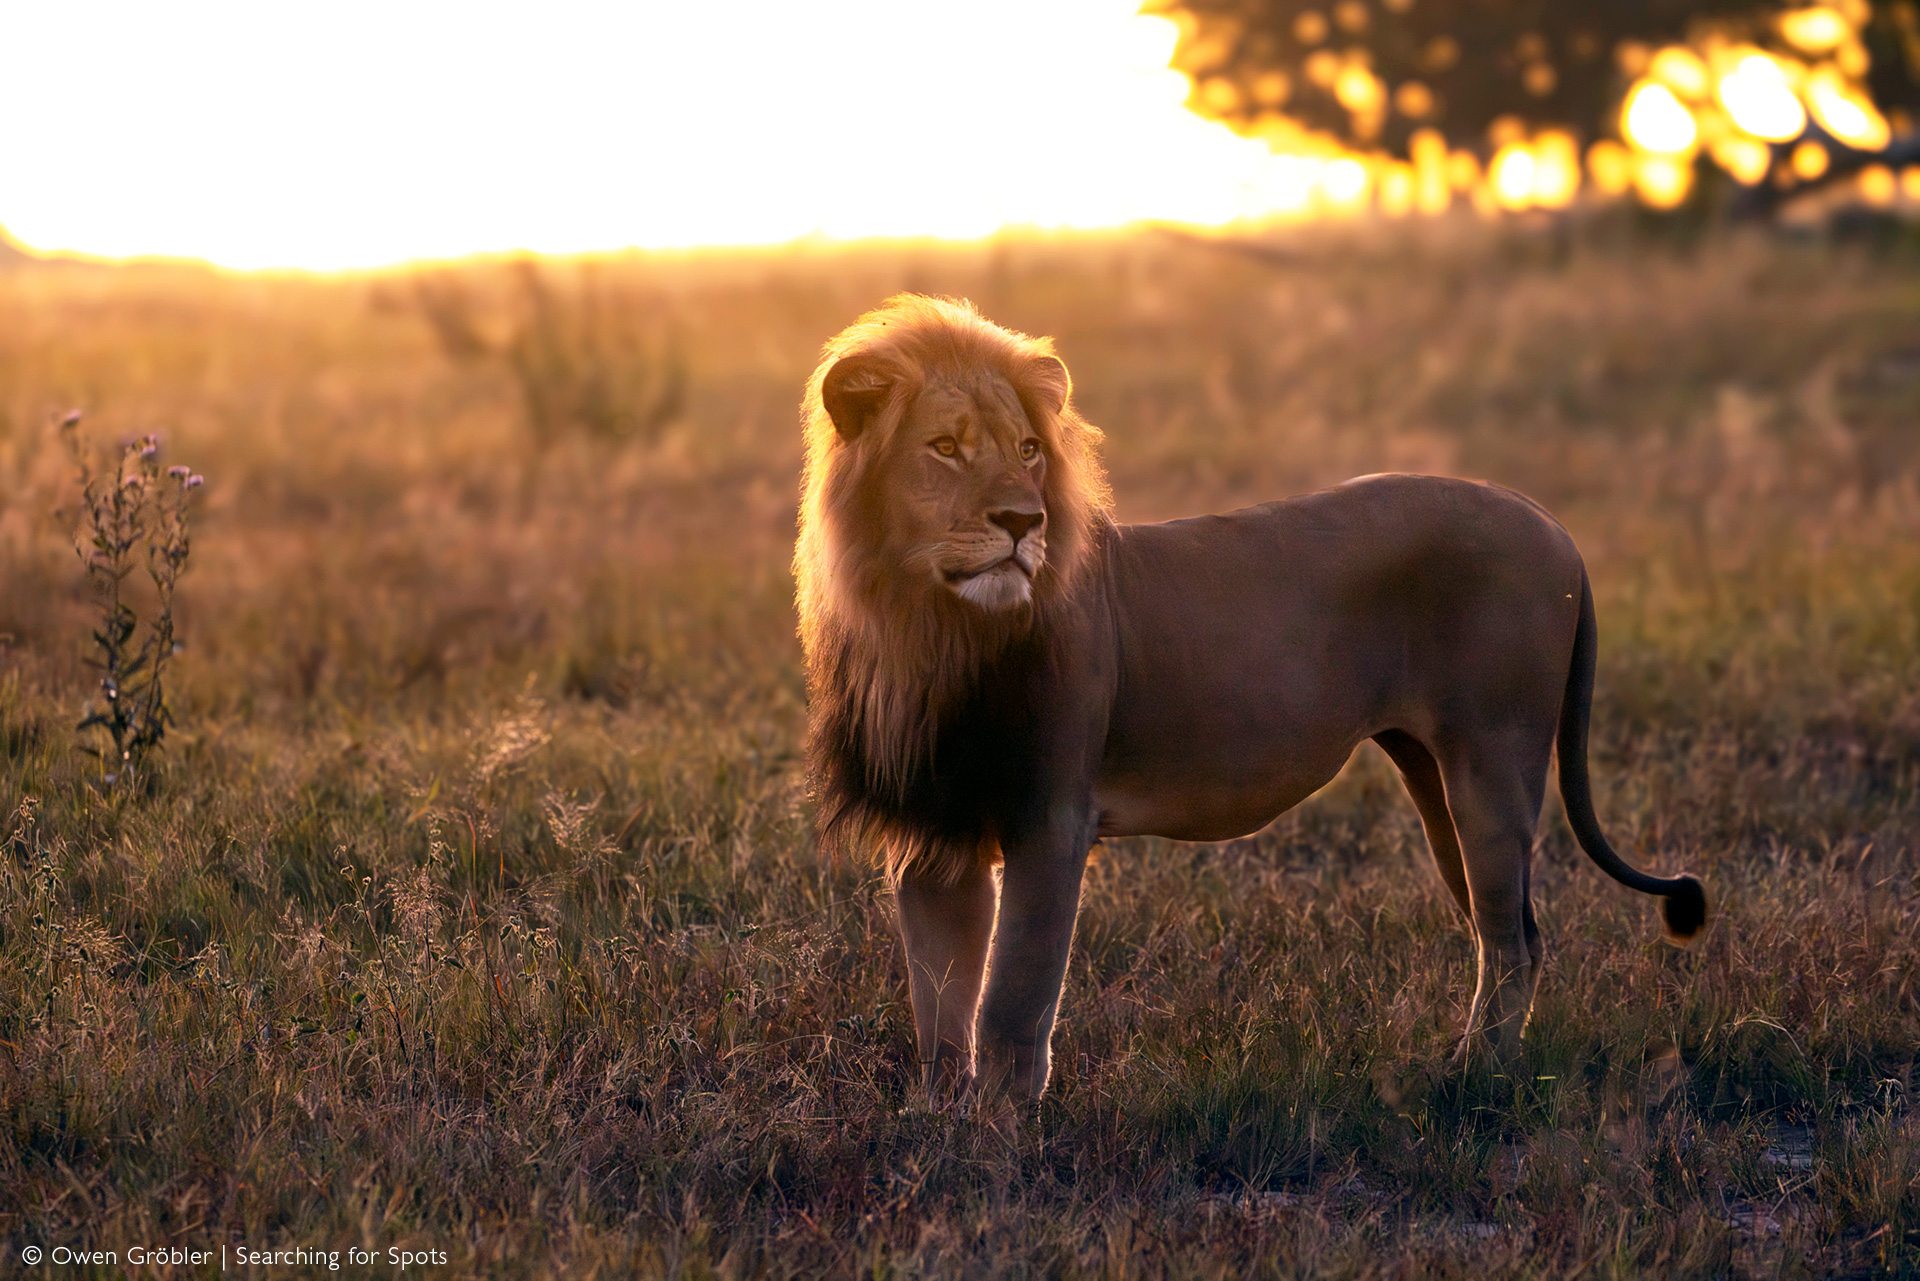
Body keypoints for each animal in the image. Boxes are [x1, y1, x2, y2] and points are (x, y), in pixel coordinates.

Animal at [795, 294, 1706, 1102]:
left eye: (1026, 449)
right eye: (945, 447)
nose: (1025, 522)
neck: (928, 628)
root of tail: (1552, 524)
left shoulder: (1049, 816)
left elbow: (1010, 1003)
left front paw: (1001, 1139)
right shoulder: (933, 836)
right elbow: (939, 1011)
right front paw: (937, 1129)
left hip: (1493, 764)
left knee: (1513, 940)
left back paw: (1470, 1081)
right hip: (1437, 776)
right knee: (1510, 930)